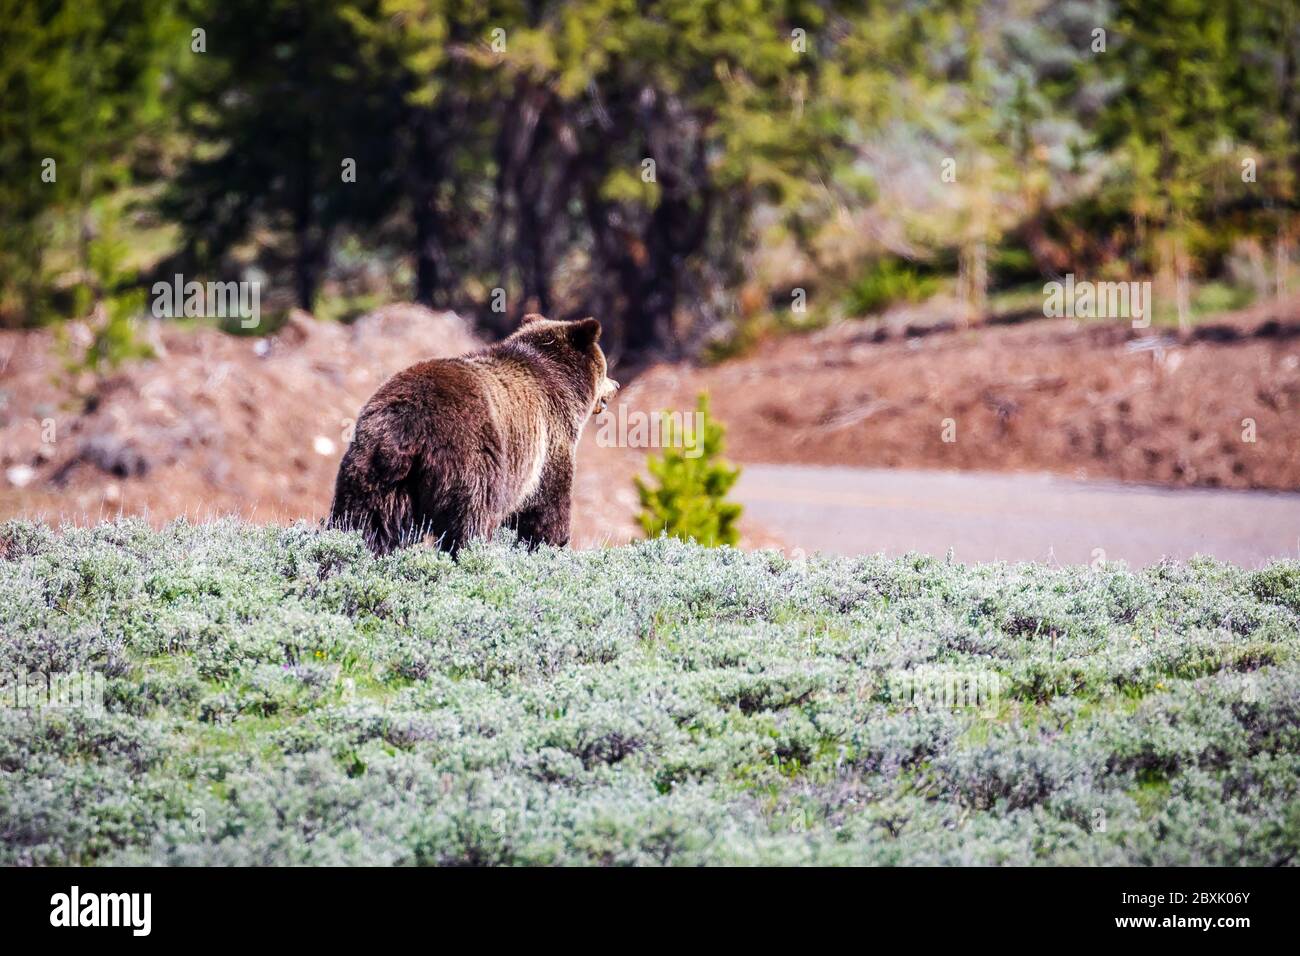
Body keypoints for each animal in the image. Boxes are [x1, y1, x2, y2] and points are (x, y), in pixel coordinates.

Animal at [328, 313, 619, 555]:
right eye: (605, 367)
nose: (615, 385)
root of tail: (407, 427)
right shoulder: (549, 441)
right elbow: (547, 505)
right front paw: (552, 543)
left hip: (374, 471)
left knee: (364, 522)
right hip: (470, 460)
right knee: (470, 520)